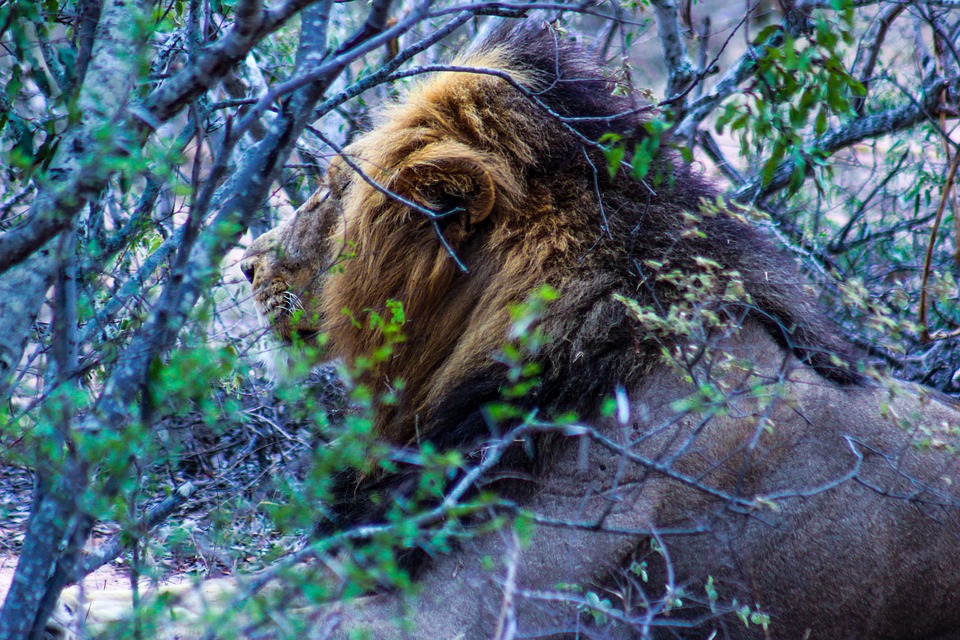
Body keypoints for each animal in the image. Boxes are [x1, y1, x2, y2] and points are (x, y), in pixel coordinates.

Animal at [52, 21, 960, 640]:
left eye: (327, 192)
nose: (244, 265)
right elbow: (252, 586)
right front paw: (84, 597)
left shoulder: (478, 609)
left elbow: (272, 617)